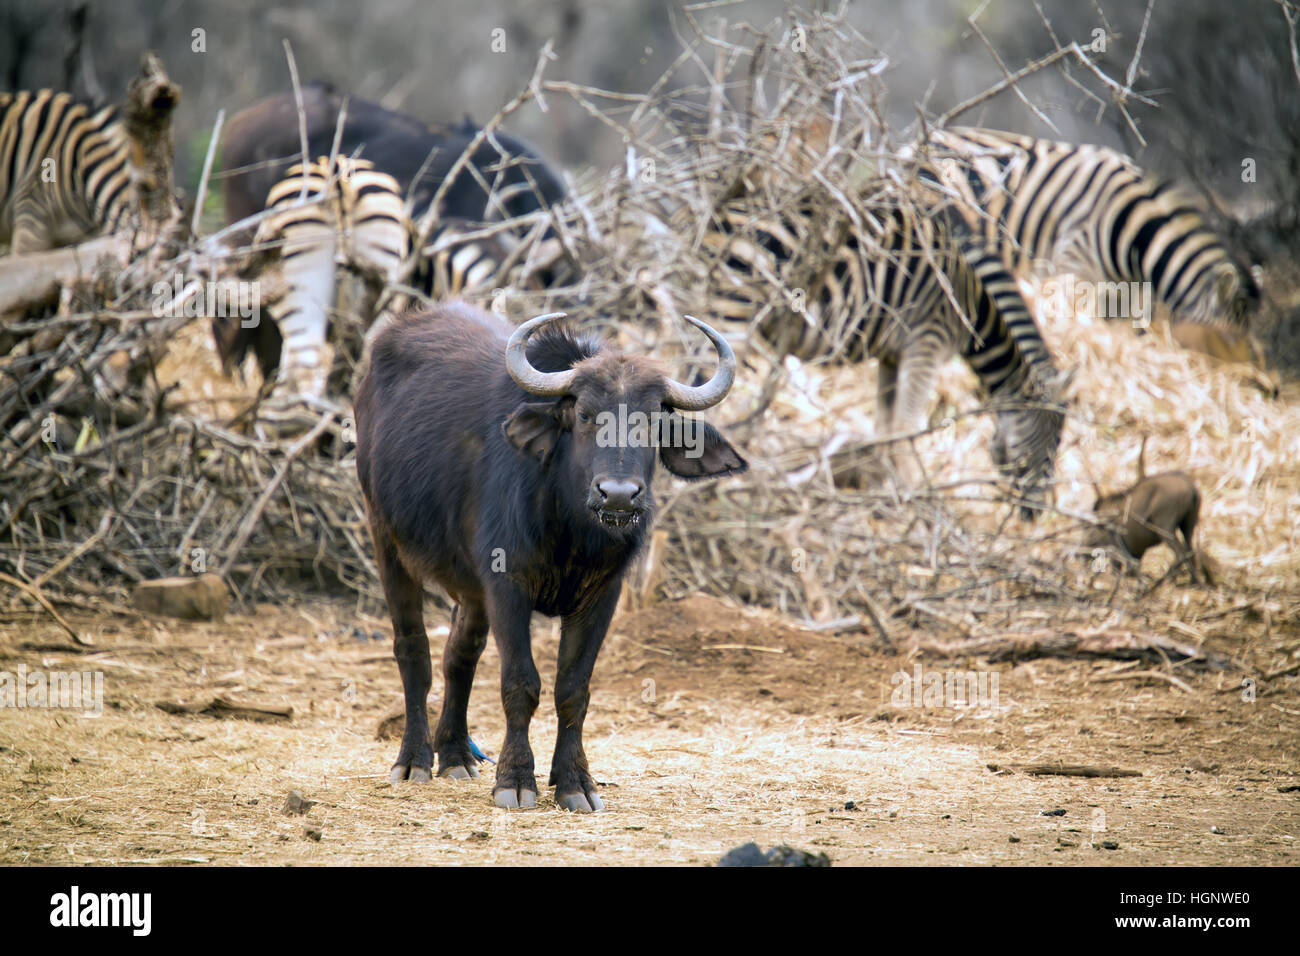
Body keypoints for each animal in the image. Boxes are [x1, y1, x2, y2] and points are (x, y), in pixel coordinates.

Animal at [354, 303, 747, 811]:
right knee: (413, 651)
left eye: (653, 420)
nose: (618, 495)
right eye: (584, 414)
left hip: (471, 589)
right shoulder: (508, 586)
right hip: (385, 538)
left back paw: (456, 754)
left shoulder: (602, 594)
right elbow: (520, 684)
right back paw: (415, 759)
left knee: (459, 654)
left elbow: (572, 690)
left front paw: (575, 782)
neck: (570, 529)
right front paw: (516, 779)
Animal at [703, 195, 1070, 518]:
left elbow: (885, 430)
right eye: (1054, 446)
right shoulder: (927, 340)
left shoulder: (893, 356)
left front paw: (883, 496)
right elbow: (906, 429)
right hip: (733, 312)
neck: (973, 304)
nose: (1037, 516)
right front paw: (917, 504)